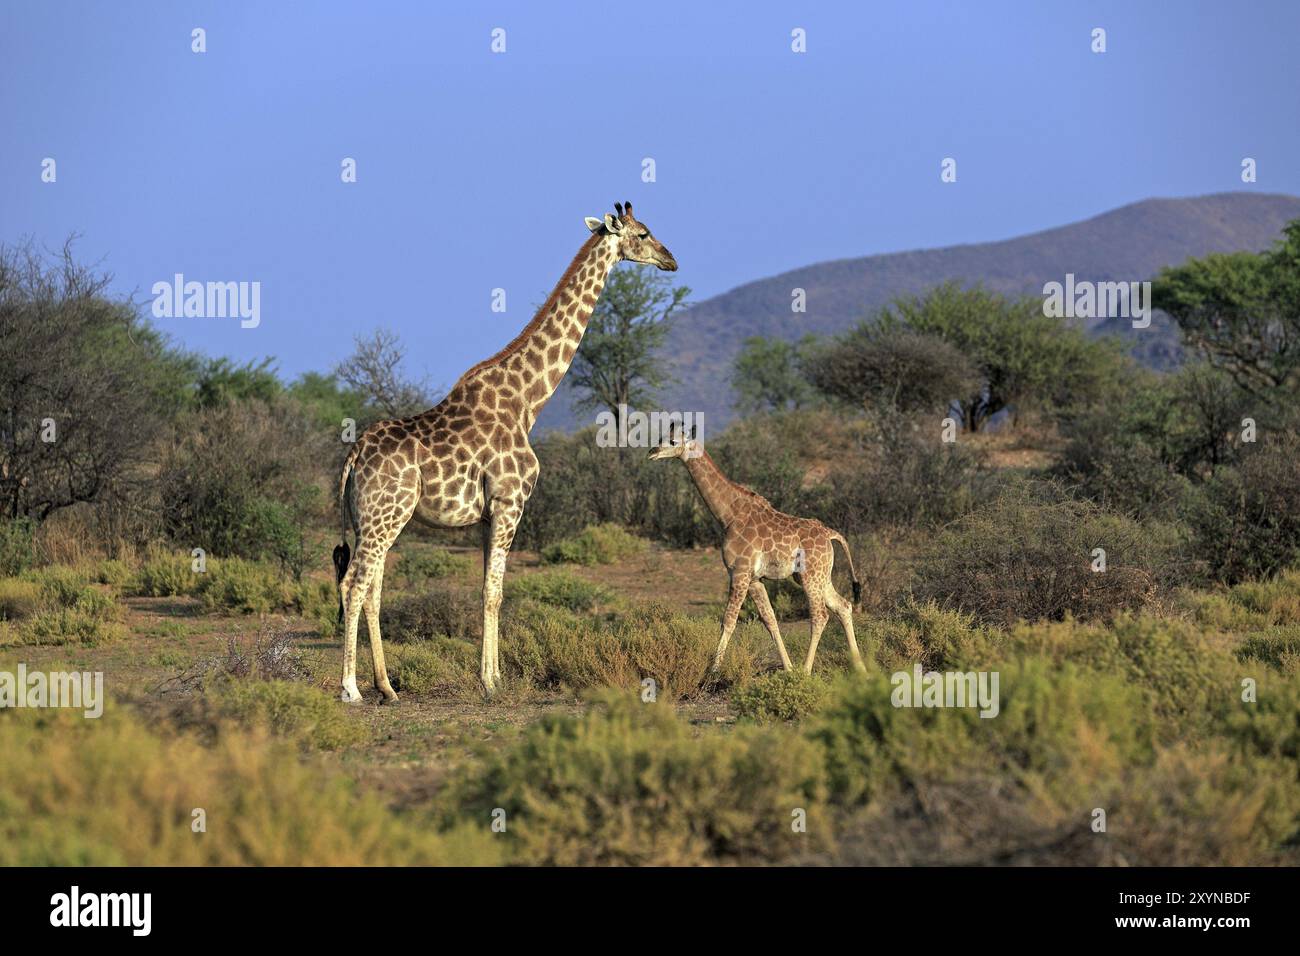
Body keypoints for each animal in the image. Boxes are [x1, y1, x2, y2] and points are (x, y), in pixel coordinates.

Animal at [333, 202, 677, 702]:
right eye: (644, 233)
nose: (672, 260)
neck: (527, 400)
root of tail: (355, 455)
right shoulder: (511, 503)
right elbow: (494, 592)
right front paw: (491, 682)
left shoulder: (488, 513)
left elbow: (487, 590)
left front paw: (492, 676)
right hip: (385, 517)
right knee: (353, 585)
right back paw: (350, 689)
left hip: (373, 520)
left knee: (372, 588)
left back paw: (387, 687)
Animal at [649, 426, 866, 675]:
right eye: (660, 437)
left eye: (673, 441)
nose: (652, 452)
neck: (729, 515)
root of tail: (831, 534)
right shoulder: (754, 579)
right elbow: (770, 620)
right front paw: (787, 667)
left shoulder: (739, 571)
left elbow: (729, 620)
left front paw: (713, 670)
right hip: (818, 576)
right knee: (843, 606)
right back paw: (860, 668)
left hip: (810, 576)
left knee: (820, 615)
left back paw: (806, 671)